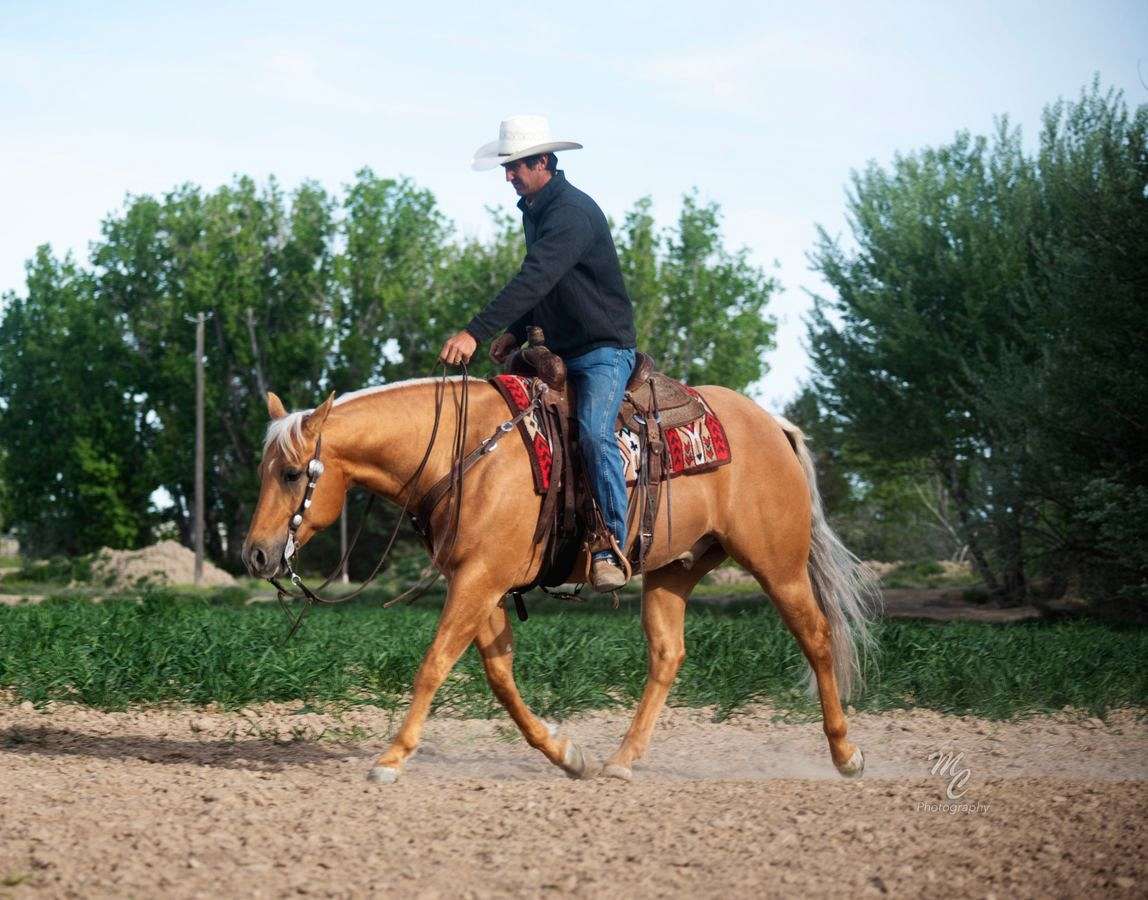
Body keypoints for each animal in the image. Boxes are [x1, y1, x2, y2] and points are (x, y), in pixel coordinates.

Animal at [241, 375, 878, 784]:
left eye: (293, 472)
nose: (256, 555)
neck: (464, 450)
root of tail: (771, 423)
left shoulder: (477, 581)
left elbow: (434, 664)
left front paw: (392, 757)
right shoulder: (482, 584)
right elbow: (500, 678)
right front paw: (566, 755)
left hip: (779, 565)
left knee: (817, 637)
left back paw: (846, 754)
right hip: (674, 569)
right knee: (667, 654)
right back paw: (621, 761)